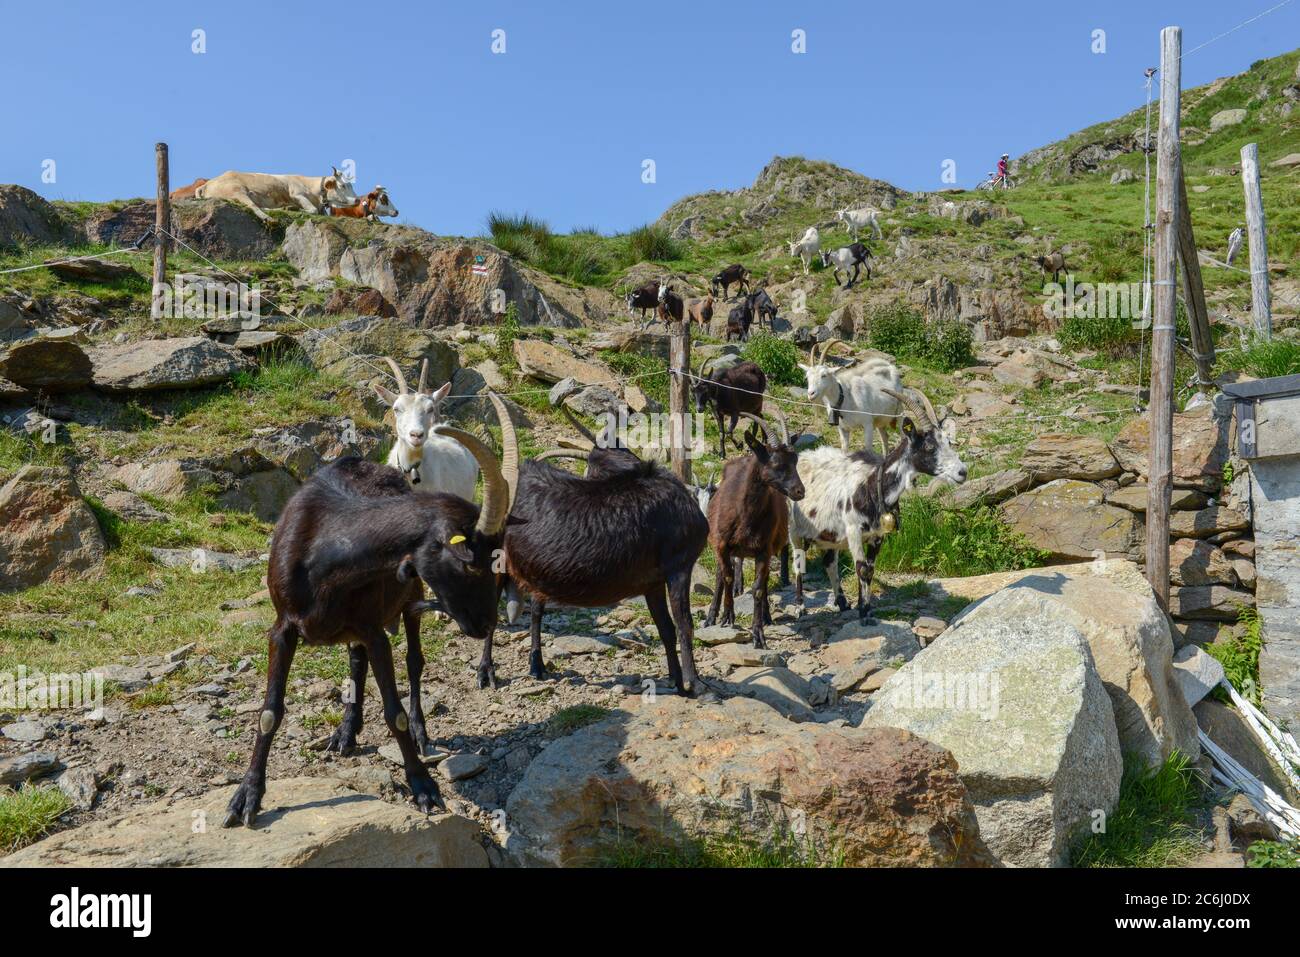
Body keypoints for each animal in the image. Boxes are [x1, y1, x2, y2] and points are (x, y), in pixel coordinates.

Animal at [222, 395, 514, 828]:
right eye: (472, 564)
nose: (484, 623)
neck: (324, 551)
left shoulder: (375, 630)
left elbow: (395, 713)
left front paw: (424, 786)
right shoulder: (283, 628)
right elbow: (269, 712)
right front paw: (247, 796)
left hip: (409, 597)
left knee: (414, 660)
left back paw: (420, 730)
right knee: (355, 660)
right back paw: (347, 731)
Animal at [504, 415, 711, 696]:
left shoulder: (654, 582)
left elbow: (666, 628)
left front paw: (676, 681)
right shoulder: (679, 567)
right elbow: (684, 624)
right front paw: (696, 684)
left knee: (536, 607)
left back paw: (536, 666)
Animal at [704, 410, 804, 647]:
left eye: (795, 460)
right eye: (776, 463)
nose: (800, 491)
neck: (744, 515)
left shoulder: (763, 550)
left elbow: (759, 588)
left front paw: (758, 634)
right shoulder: (722, 545)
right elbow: (727, 578)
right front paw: (727, 616)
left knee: (764, 581)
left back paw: (767, 615)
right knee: (721, 575)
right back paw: (712, 616)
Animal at [788, 388, 965, 623]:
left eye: (948, 443)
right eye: (929, 447)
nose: (962, 472)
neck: (872, 484)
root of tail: (803, 456)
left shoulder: (877, 535)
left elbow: (870, 570)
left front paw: (865, 607)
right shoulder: (853, 530)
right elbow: (862, 569)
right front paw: (863, 612)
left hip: (829, 534)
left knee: (829, 562)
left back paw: (842, 602)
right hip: (794, 528)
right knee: (798, 561)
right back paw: (799, 608)